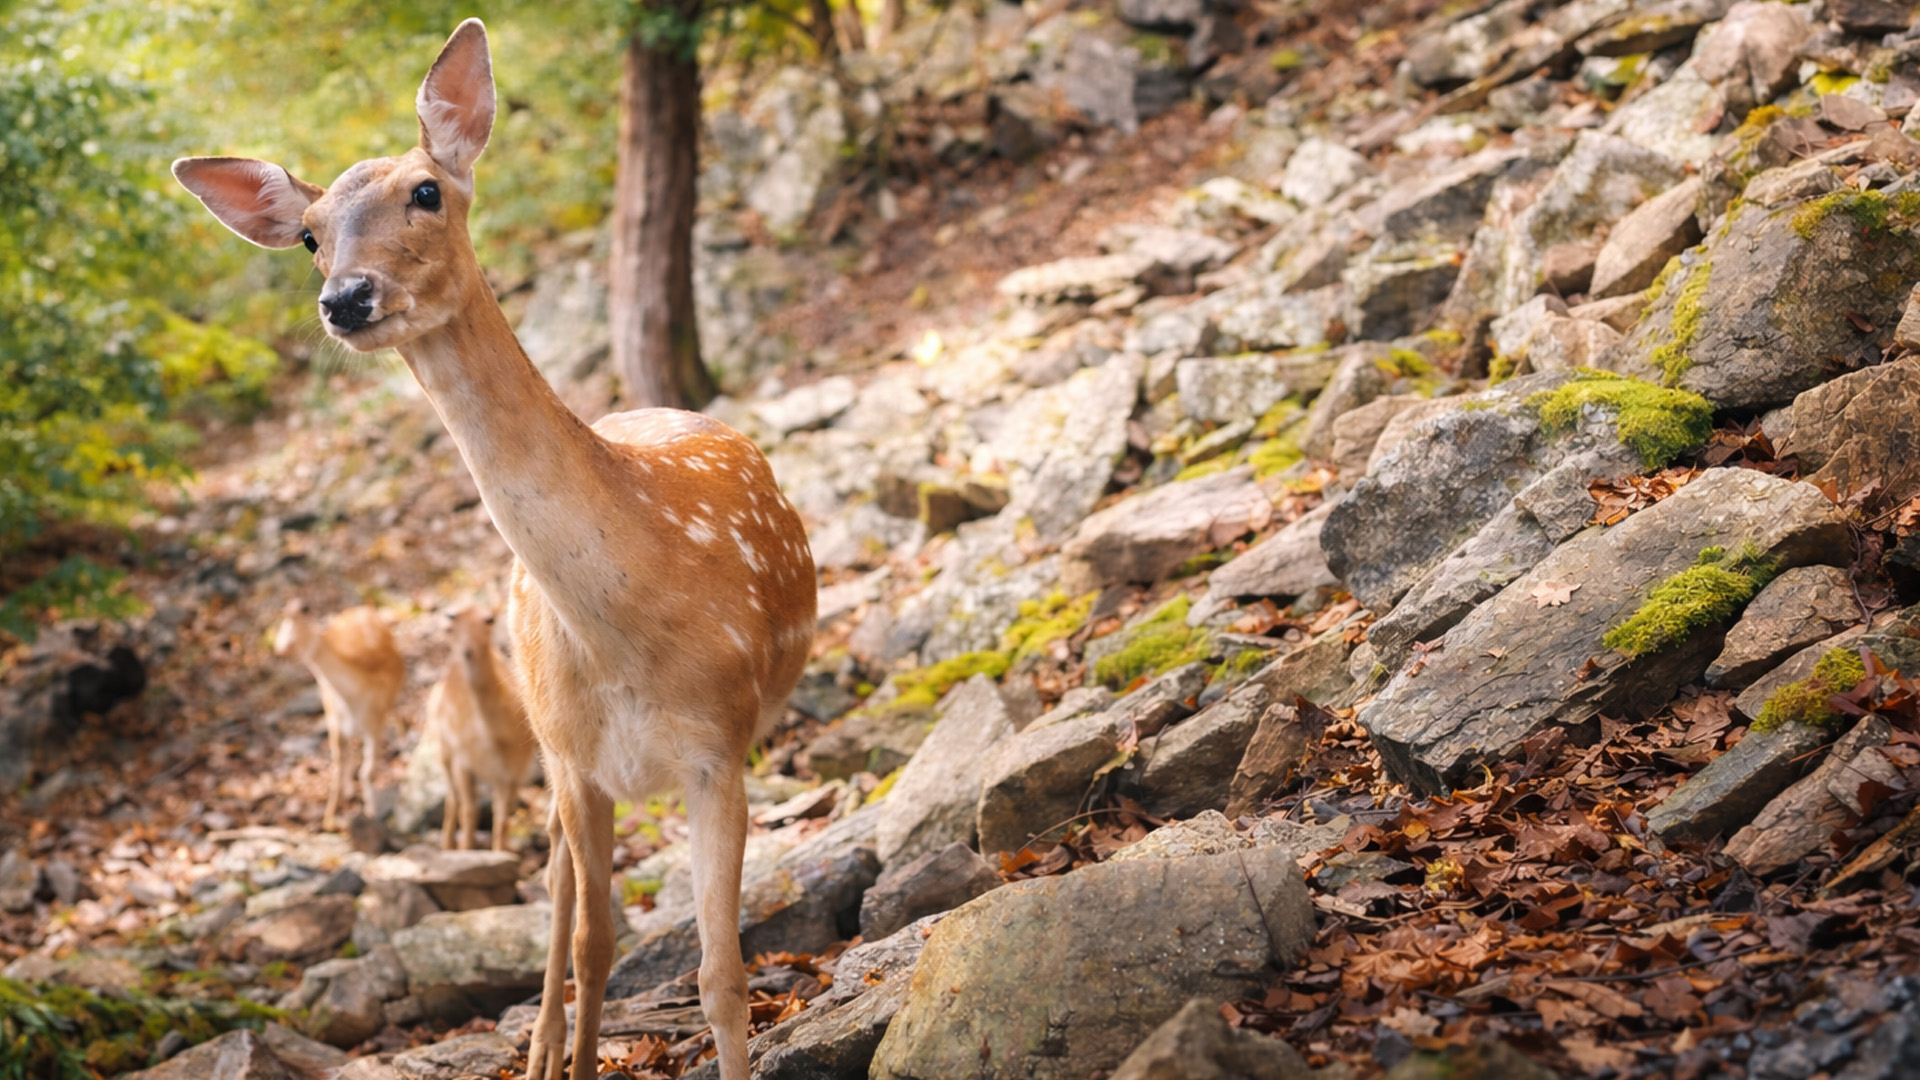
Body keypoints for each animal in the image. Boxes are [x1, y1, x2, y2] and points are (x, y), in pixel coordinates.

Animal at [271, 604, 405, 832]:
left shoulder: (374, 727)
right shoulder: (334, 725)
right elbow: (337, 767)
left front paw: (371, 812)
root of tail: (361, 608)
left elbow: (367, 771)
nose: (280, 651)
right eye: (282, 627)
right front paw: (330, 819)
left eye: (300, 630)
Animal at [427, 606, 536, 852]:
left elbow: (502, 817)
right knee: (453, 800)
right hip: (444, 751)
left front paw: (503, 852)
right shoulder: (463, 762)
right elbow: (469, 810)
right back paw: (447, 846)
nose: (468, 651)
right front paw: (467, 850)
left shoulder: (513, 774)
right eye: (454, 620)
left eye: (489, 619)